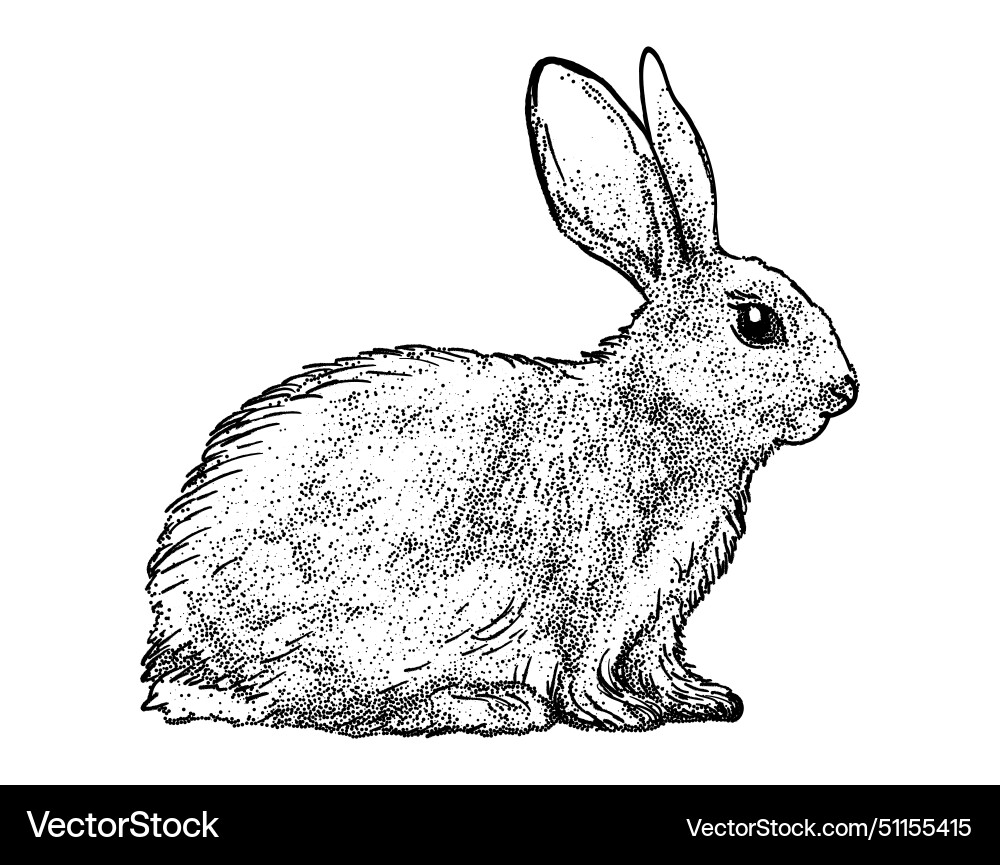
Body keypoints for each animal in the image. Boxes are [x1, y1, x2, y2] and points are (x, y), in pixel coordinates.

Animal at [142, 47, 857, 736]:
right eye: (756, 323)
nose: (845, 392)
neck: (651, 409)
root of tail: (173, 656)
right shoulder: (590, 602)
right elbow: (584, 666)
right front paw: (620, 714)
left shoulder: (654, 614)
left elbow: (655, 660)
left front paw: (699, 698)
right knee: (323, 701)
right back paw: (491, 709)